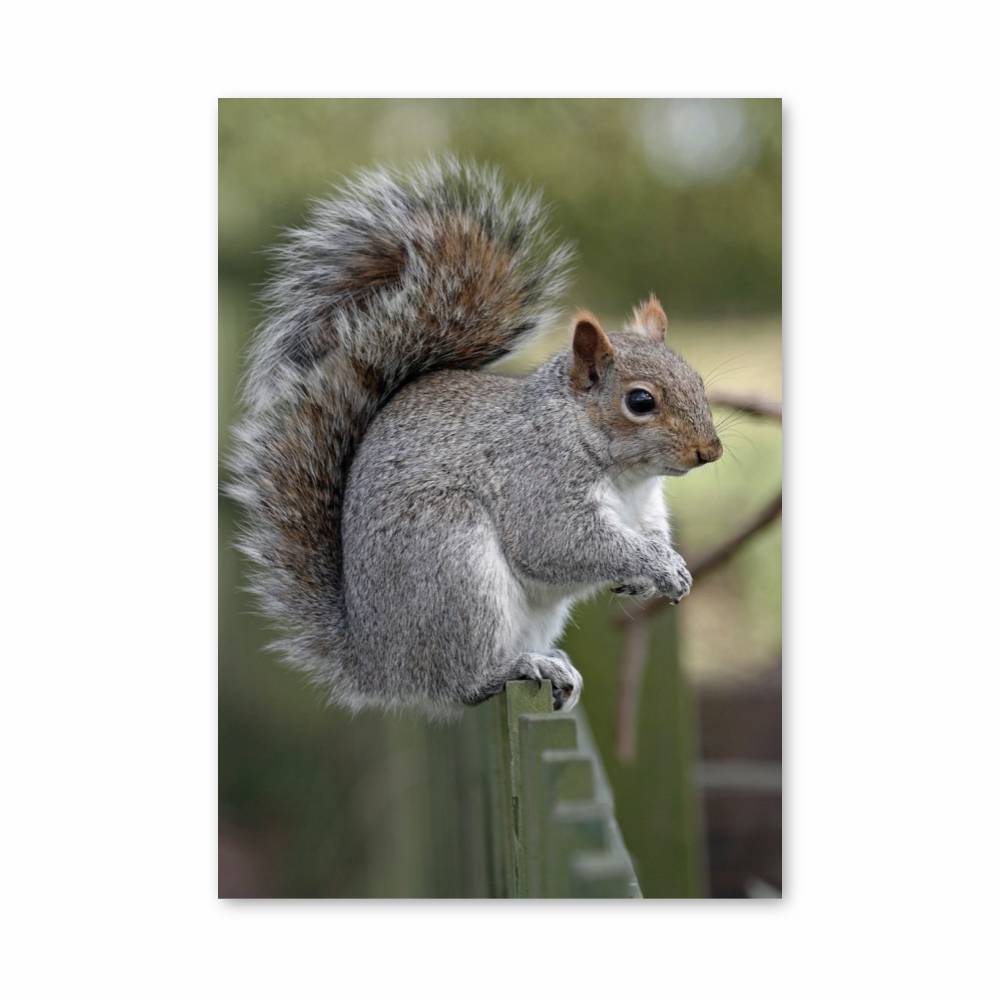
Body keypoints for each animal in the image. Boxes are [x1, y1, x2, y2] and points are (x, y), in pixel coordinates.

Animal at [227, 158, 722, 717]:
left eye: (696, 379)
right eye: (640, 402)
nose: (710, 451)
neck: (625, 475)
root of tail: (376, 665)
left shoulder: (646, 510)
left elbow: (650, 535)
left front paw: (665, 568)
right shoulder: (538, 483)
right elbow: (563, 542)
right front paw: (652, 565)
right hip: (454, 566)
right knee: (459, 685)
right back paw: (516, 668)